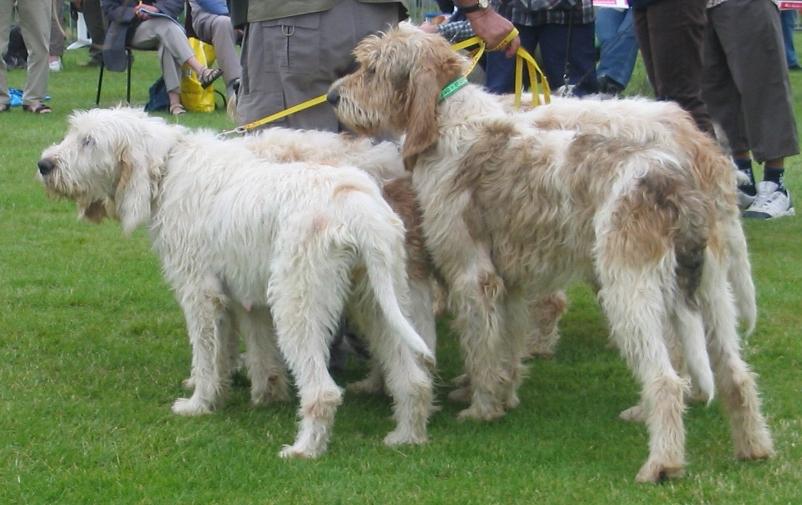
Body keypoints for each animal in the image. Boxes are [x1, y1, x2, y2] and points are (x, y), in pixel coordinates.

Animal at [328, 26, 772, 480]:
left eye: (373, 69)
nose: (332, 97)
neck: (446, 118)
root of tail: (677, 177)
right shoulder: (510, 284)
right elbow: (504, 345)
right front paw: (503, 397)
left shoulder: (472, 275)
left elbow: (480, 348)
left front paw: (480, 408)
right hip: (710, 292)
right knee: (736, 374)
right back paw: (753, 448)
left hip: (631, 294)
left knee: (666, 379)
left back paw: (661, 461)